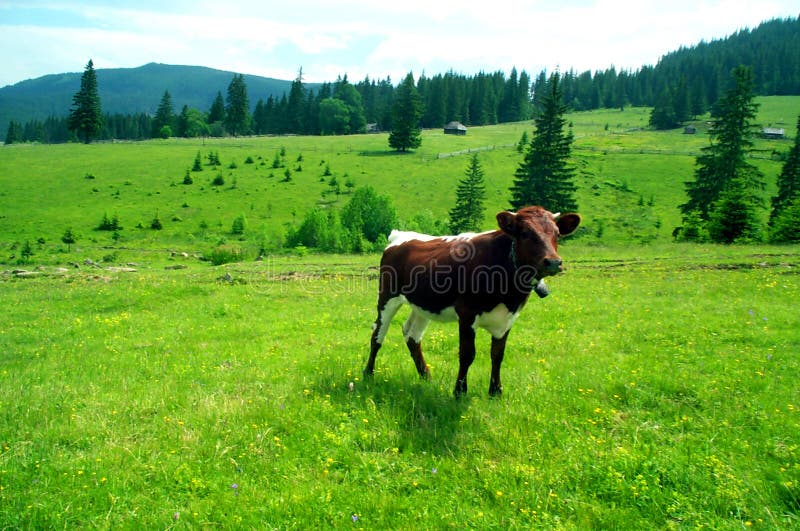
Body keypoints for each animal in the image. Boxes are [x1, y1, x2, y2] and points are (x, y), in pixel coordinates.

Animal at [363, 206, 581, 397]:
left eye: (557, 234)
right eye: (526, 233)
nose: (553, 262)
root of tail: (399, 236)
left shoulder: (508, 318)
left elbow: (498, 355)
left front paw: (495, 392)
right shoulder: (466, 313)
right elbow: (467, 354)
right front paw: (459, 392)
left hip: (424, 304)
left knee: (412, 334)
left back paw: (426, 377)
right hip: (387, 297)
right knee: (377, 335)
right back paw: (368, 374)